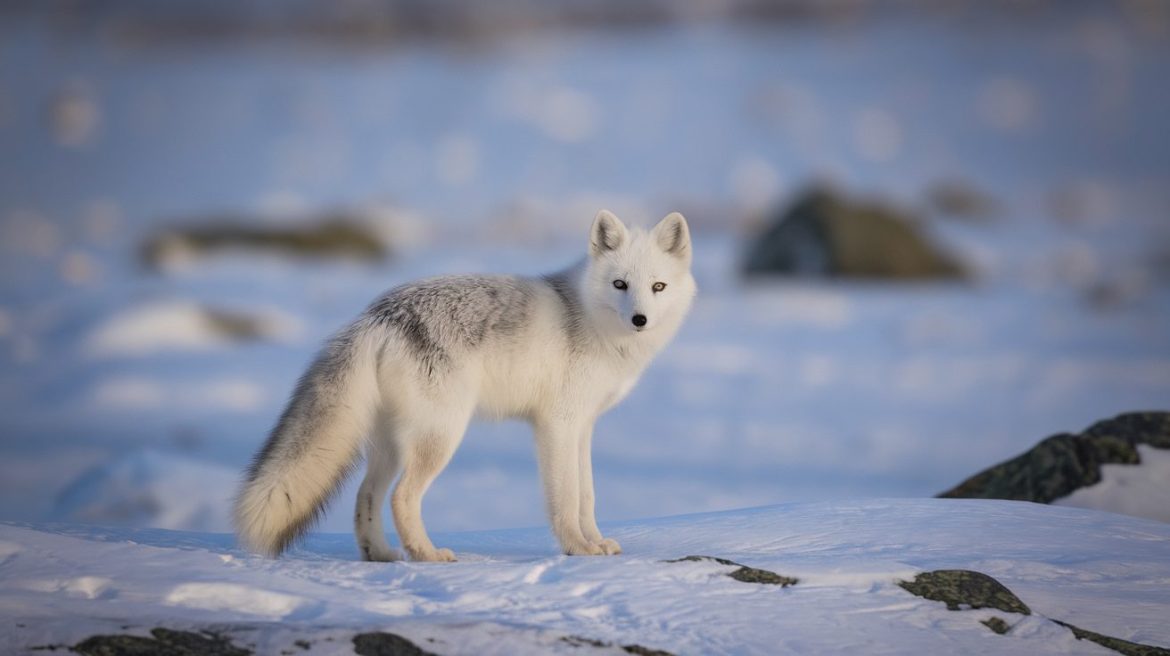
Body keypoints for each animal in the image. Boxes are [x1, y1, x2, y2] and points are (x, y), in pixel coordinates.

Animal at [234, 210, 695, 561]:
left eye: (657, 286)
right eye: (620, 284)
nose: (640, 320)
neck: (587, 318)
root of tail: (377, 315)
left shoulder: (582, 427)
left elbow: (587, 496)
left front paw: (596, 542)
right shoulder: (557, 425)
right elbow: (565, 500)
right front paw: (577, 549)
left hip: (390, 446)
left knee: (366, 497)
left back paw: (381, 555)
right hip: (442, 436)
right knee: (401, 498)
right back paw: (427, 555)